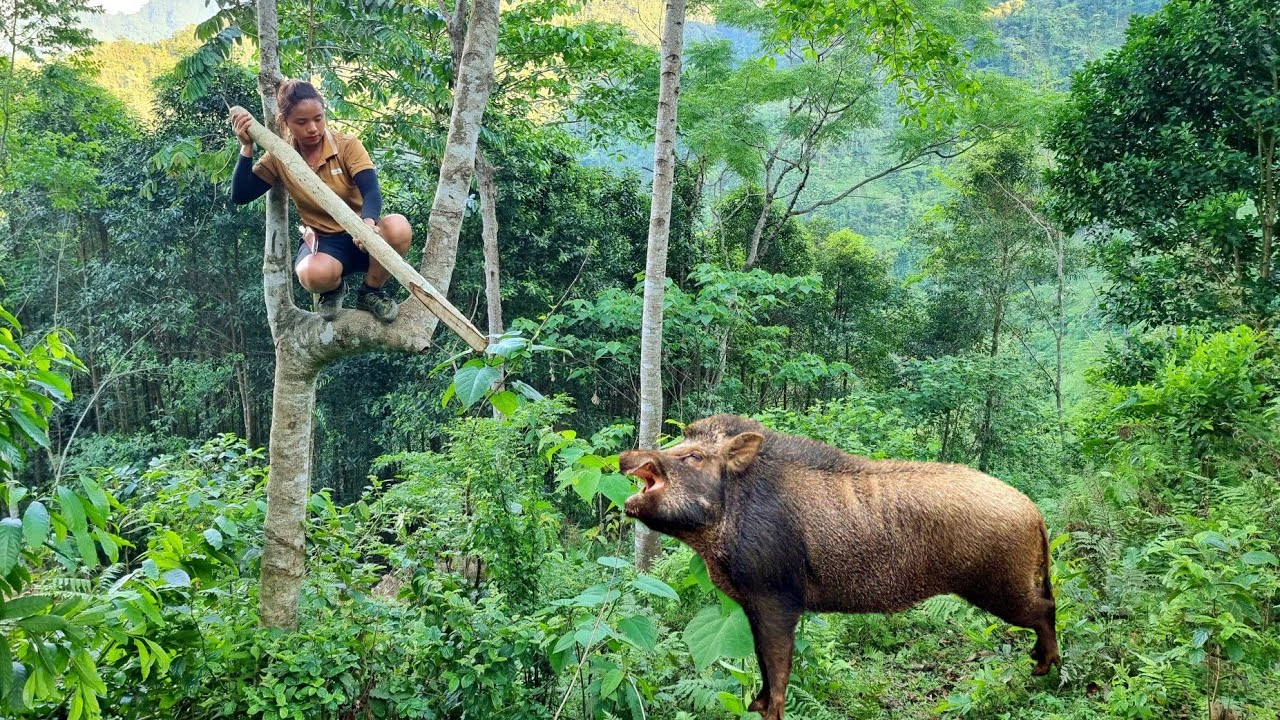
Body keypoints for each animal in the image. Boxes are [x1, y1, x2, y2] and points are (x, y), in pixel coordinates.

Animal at [621, 414, 1059, 720]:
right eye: (682, 440)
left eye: (694, 455)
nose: (627, 456)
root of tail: (1035, 513)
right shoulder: (752, 603)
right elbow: (762, 660)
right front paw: (755, 705)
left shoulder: (776, 596)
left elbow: (777, 664)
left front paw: (769, 711)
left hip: (1000, 584)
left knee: (1046, 609)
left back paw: (1044, 668)